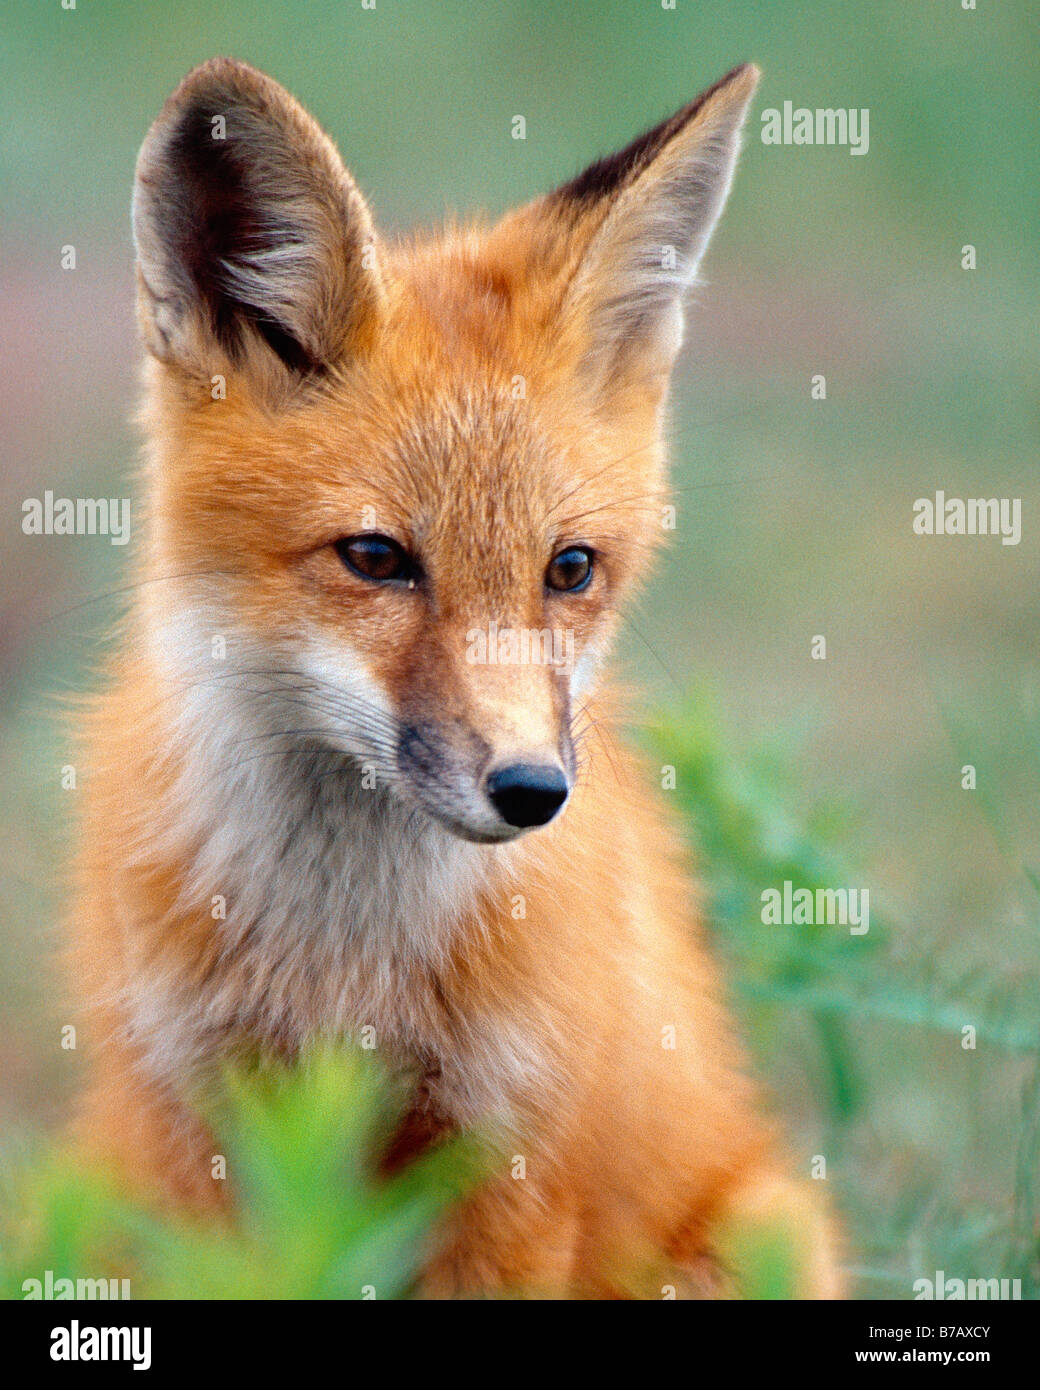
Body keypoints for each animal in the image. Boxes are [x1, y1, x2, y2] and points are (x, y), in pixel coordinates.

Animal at [68, 55, 842, 1298]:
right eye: (376, 559)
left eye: (568, 569)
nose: (529, 792)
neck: (341, 966)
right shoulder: (204, 1129)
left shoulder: (511, 1153)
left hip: (760, 1226)